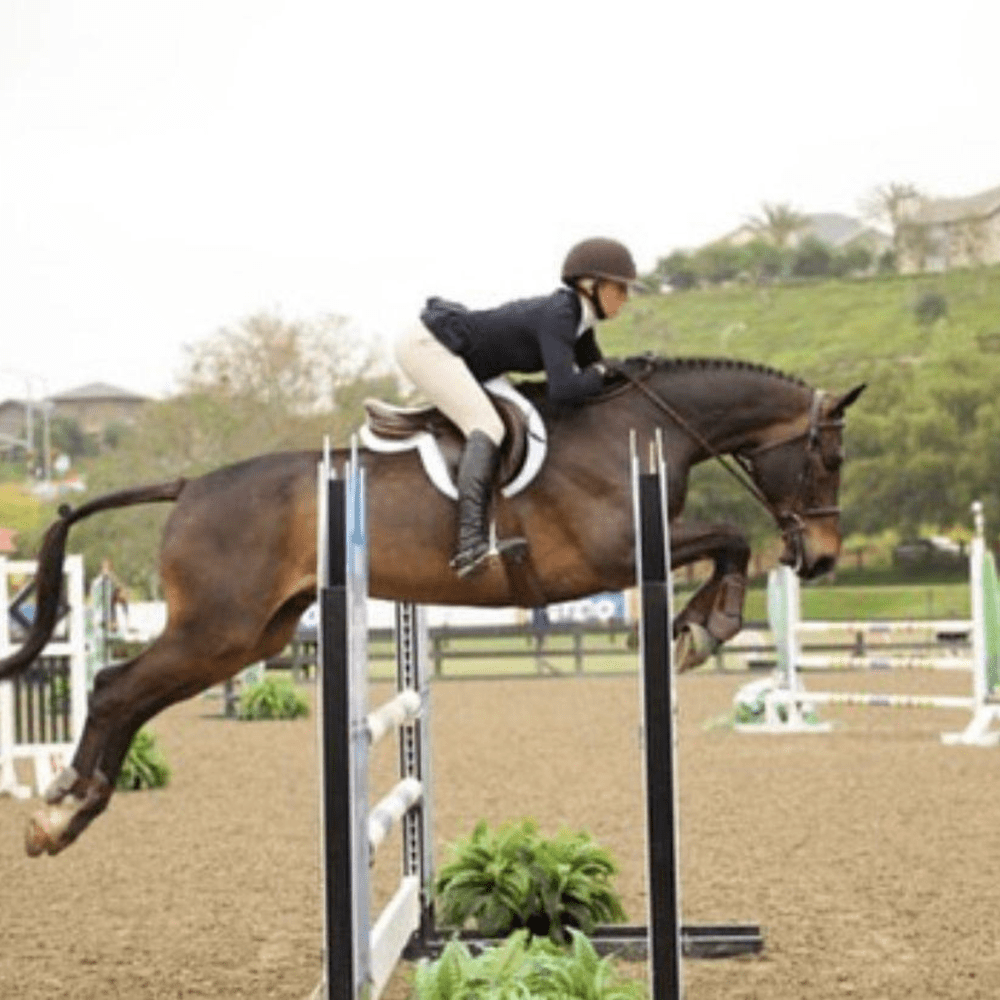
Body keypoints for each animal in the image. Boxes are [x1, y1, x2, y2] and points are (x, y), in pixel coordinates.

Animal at [1, 356, 864, 856]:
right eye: (828, 457)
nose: (821, 558)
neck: (638, 421)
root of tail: (188, 485)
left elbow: (728, 545)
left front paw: (696, 627)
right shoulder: (615, 554)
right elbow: (732, 537)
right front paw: (704, 628)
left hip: (245, 638)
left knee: (129, 697)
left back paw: (69, 813)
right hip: (217, 630)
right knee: (114, 688)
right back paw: (59, 807)